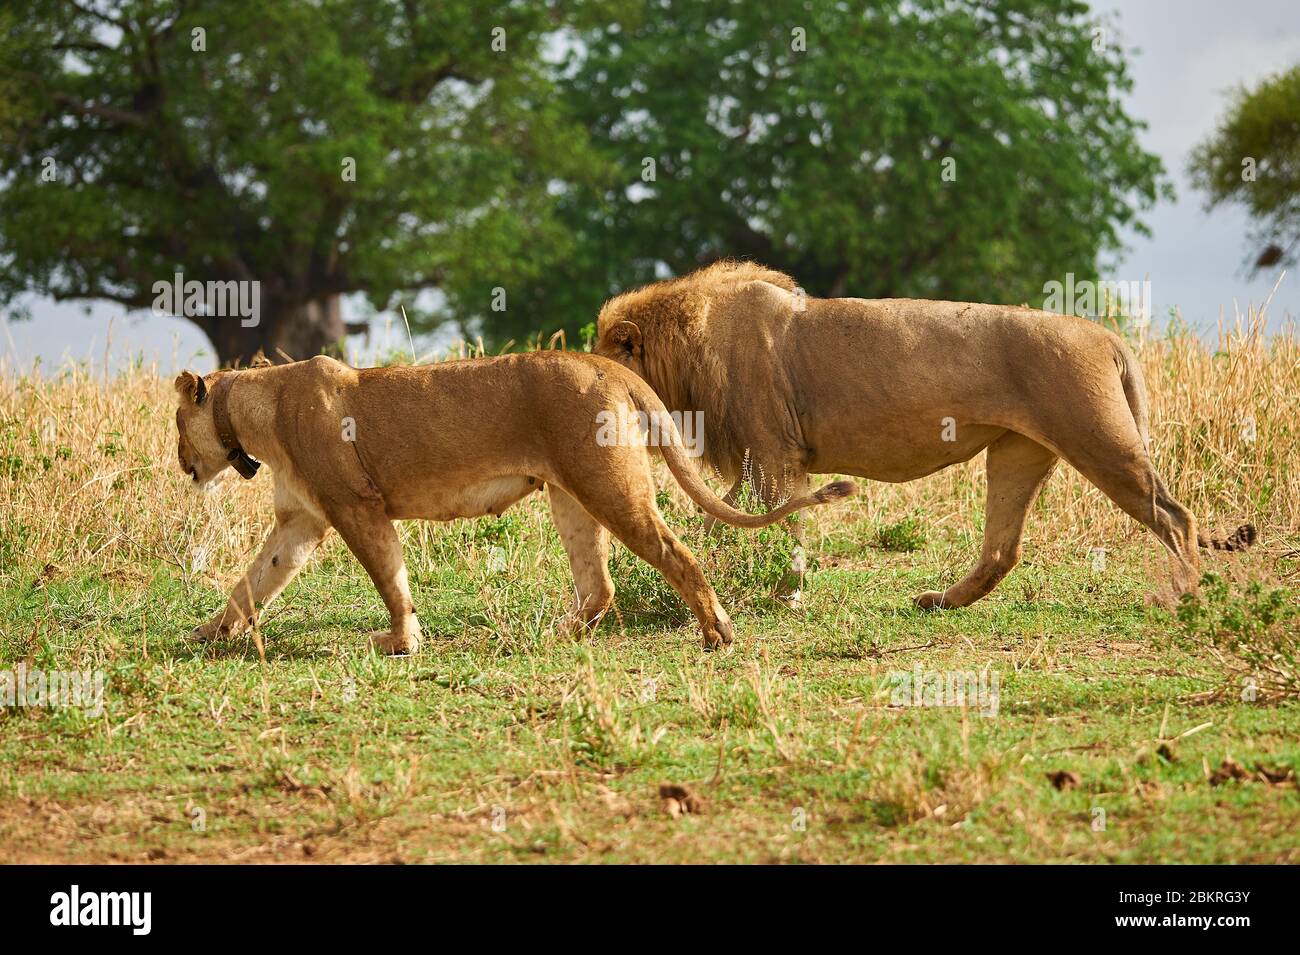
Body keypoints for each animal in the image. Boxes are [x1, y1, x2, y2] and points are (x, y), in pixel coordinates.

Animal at [173, 353, 852, 652]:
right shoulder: (302, 521)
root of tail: (607, 363)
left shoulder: (355, 506)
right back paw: (556, 633)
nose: (180, 461)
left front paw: (401, 641)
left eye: (177, 424)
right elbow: (252, 581)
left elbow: (390, 577)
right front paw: (209, 631)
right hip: (571, 494)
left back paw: (717, 633)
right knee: (599, 584)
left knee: (675, 554)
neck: (252, 408)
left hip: (609, 486)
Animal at [594, 260, 1256, 609]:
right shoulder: (762, 457)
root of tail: (1105, 334)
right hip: (1018, 453)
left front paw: (787, 594)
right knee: (1003, 549)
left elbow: (784, 525)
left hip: (1099, 439)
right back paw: (941, 601)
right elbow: (725, 521)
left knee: (1176, 517)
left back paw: (1184, 594)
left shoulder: (776, 452)